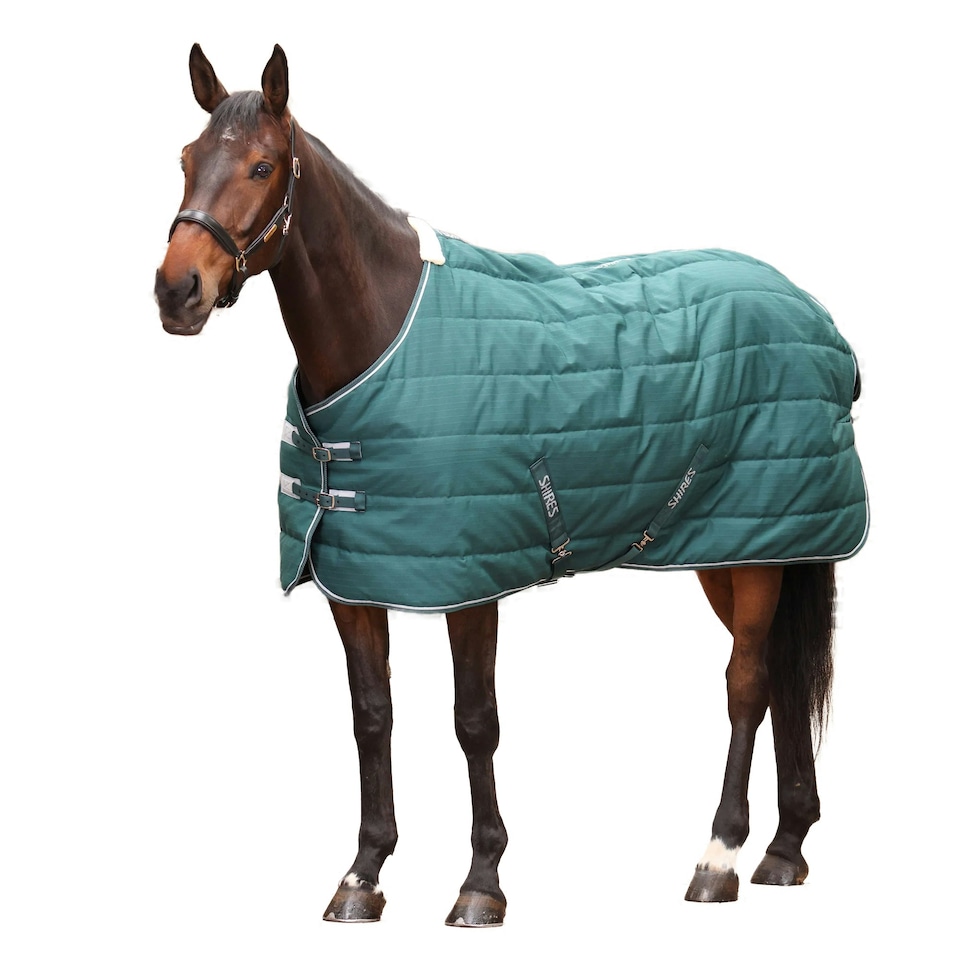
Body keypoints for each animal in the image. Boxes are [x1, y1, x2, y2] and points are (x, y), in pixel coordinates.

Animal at [155, 44, 866, 926]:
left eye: (261, 165)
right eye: (186, 160)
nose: (176, 290)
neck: (383, 337)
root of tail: (815, 316)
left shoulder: (469, 583)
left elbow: (474, 722)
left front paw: (481, 881)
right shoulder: (353, 584)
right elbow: (371, 717)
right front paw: (363, 874)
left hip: (761, 550)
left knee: (749, 683)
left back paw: (719, 857)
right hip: (737, 548)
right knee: (781, 682)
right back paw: (784, 849)